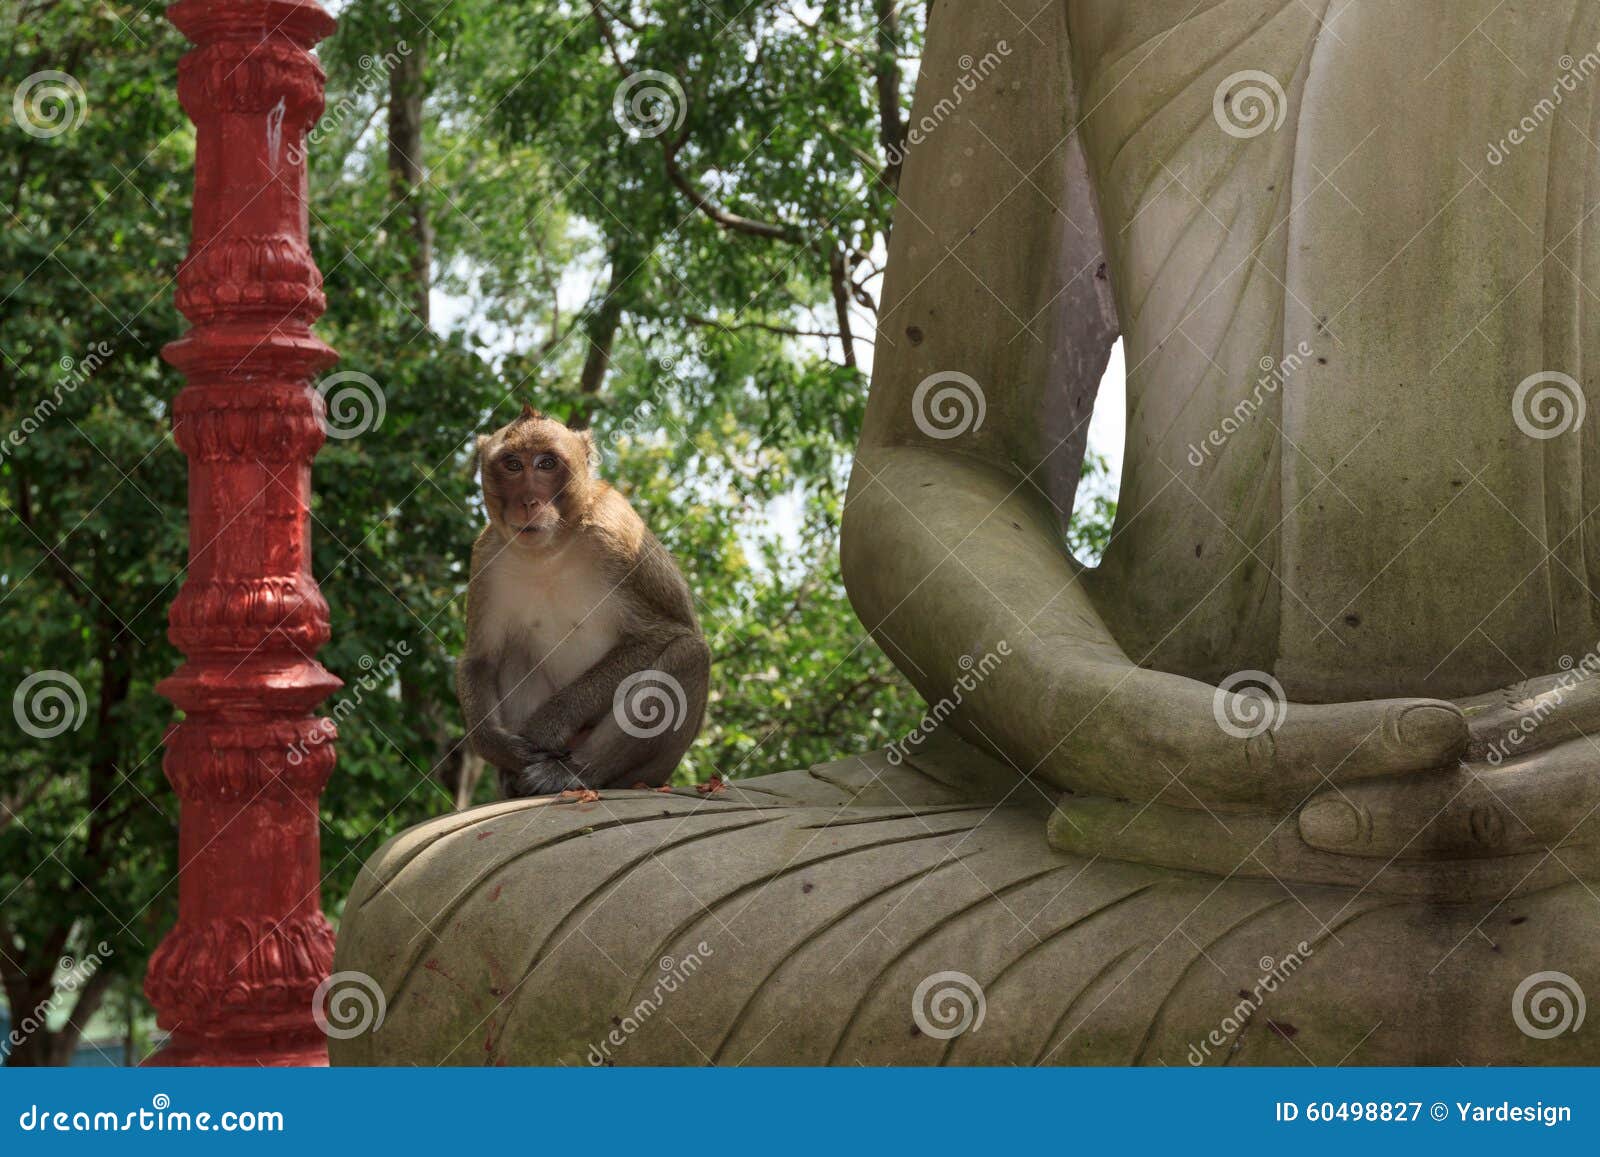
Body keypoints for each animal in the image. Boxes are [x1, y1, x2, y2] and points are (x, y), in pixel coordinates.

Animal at [456, 405, 711, 799]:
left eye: (546, 463)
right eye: (513, 465)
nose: (528, 501)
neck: (550, 550)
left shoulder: (617, 539)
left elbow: (663, 634)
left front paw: (547, 726)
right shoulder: (486, 557)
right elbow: (481, 660)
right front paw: (497, 745)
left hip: (653, 770)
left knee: (690, 654)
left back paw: (573, 772)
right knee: (514, 651)